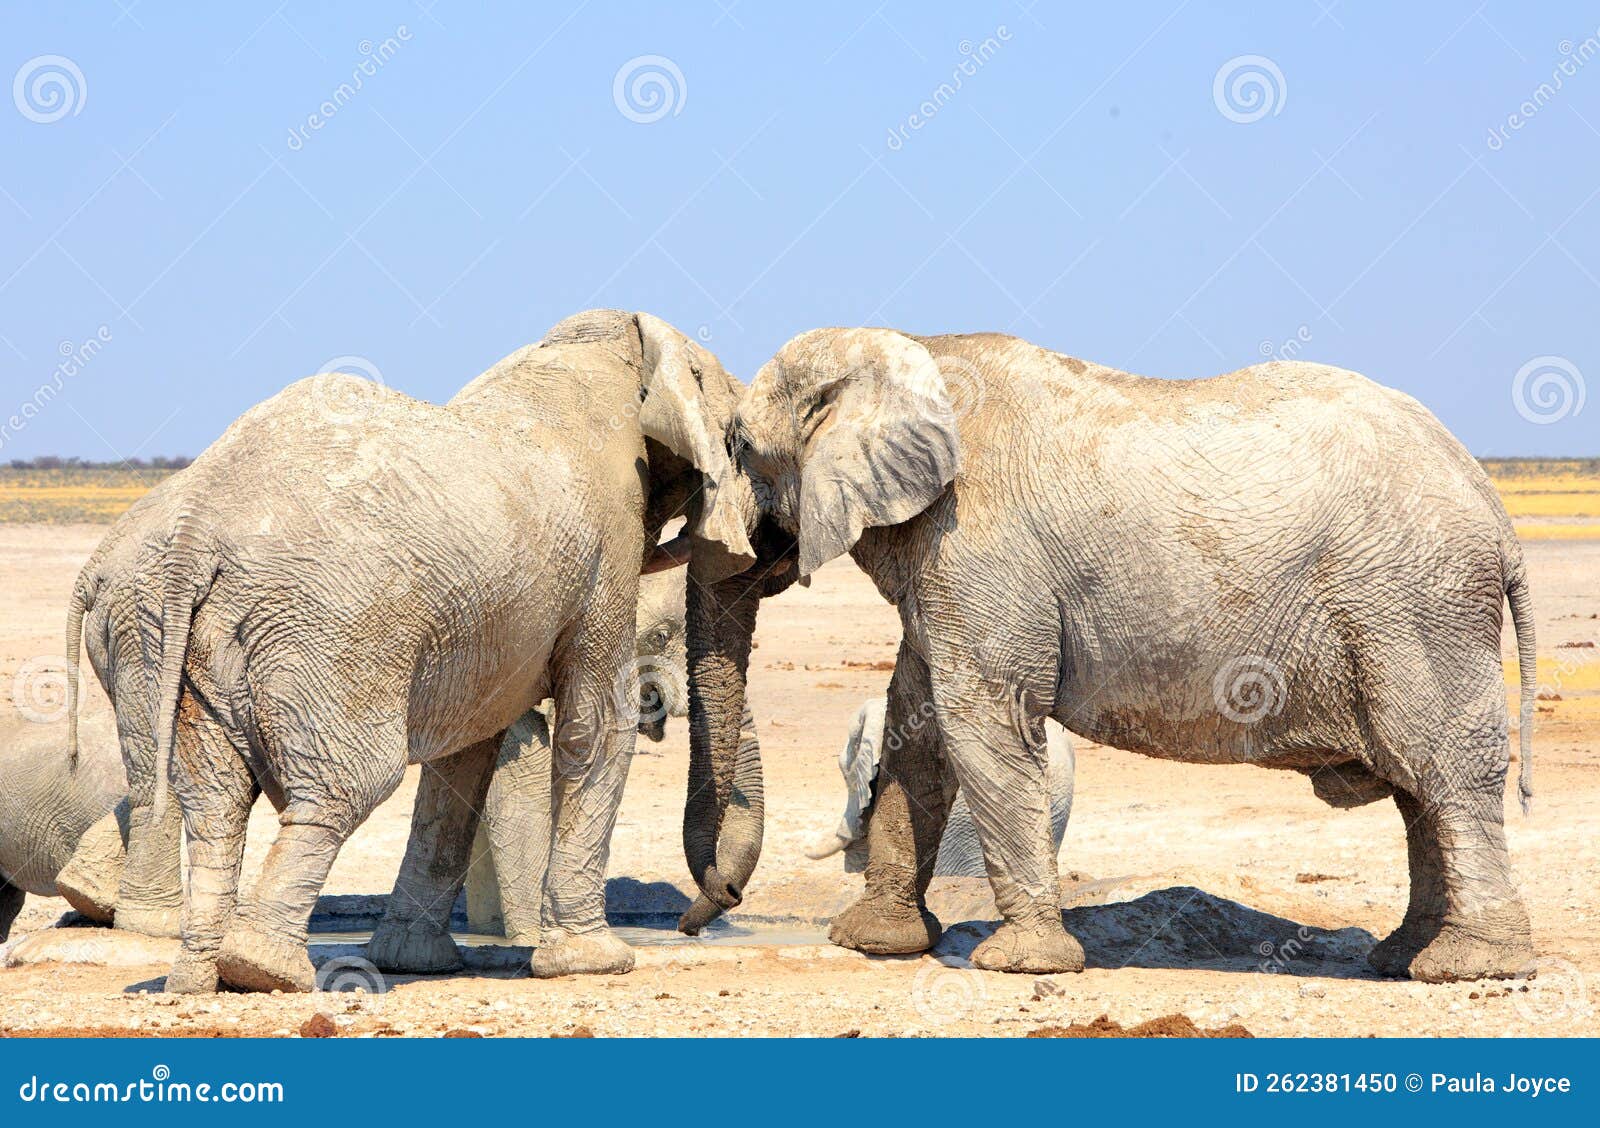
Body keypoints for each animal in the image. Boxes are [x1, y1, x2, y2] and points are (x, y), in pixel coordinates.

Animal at [67, 309, 753, 993]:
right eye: (738, 443)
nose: (702, 918)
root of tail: (196, 534)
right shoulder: (607, 543)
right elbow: (597, 727)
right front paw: (594, 963)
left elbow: (466, 755)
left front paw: (415, 960)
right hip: (329, 629)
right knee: (347, 784)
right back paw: (262, 971)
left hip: (170, 637)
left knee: (212, 802)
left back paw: (196, 978)